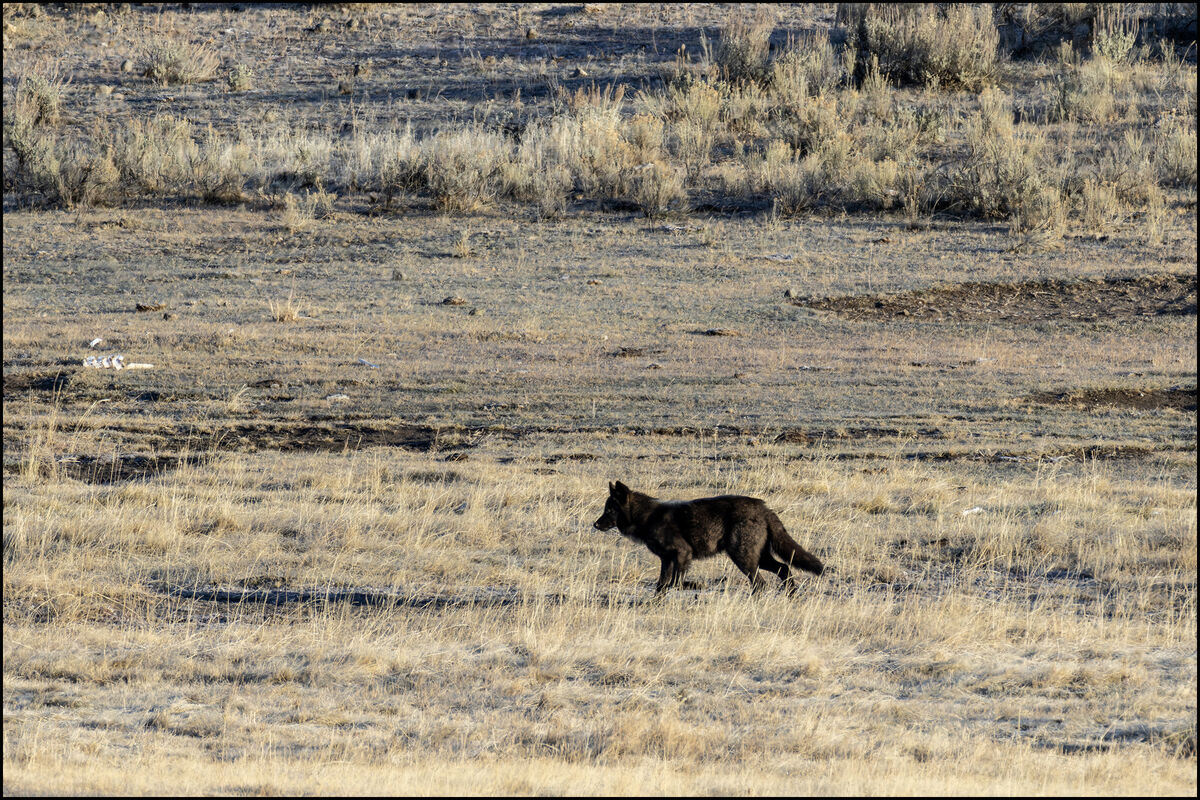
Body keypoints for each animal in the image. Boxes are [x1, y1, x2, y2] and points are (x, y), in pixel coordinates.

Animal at [592, 481, 824, 594]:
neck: (648, 517)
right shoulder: (667, 560)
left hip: (744, 559)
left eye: (610, 510)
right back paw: (791, 596)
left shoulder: (683, 554)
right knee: (784, 569)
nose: (595, 524)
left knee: (761, 583)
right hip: (758, 558)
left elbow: (675, 583)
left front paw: (696, 586)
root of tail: (764, 508)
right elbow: (661, 586)